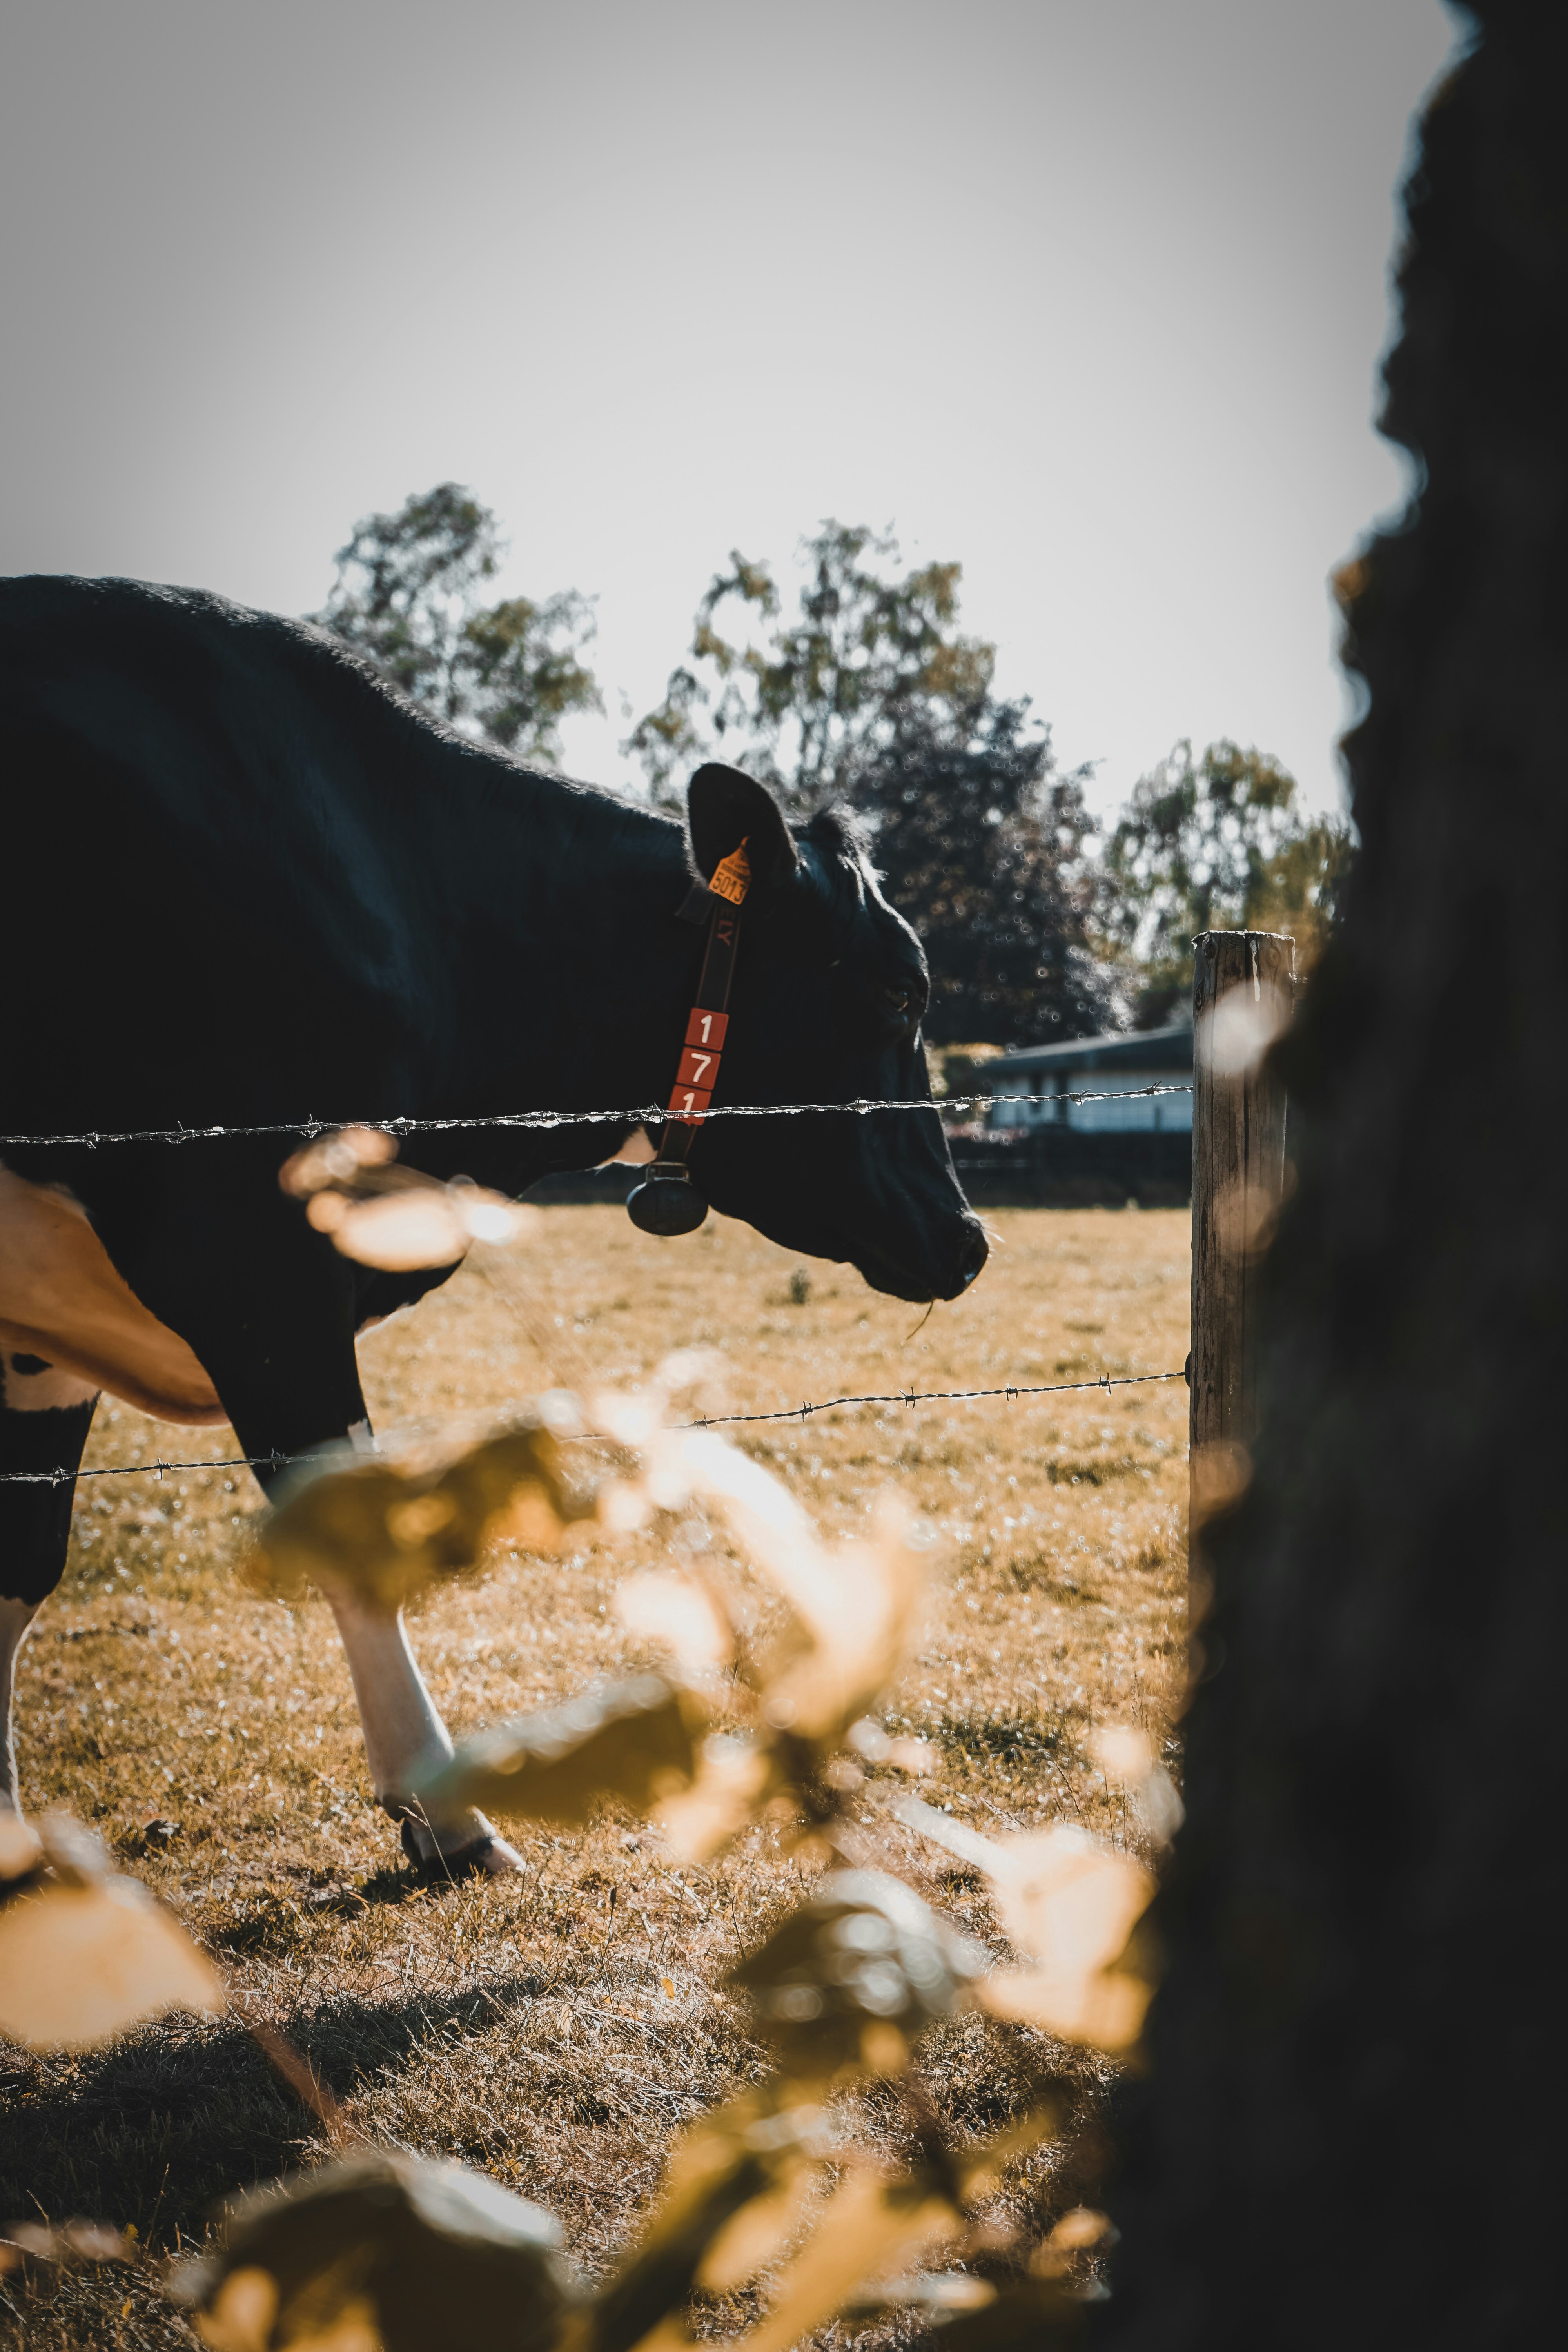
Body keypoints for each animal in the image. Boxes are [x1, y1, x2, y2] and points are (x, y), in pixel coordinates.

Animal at [0, 575, 987, 1876]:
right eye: (899, 990)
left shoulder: (44, 1331)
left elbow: (17, 1567)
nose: (967, 1237)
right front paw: (448, 1815)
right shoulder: (254, 1258)